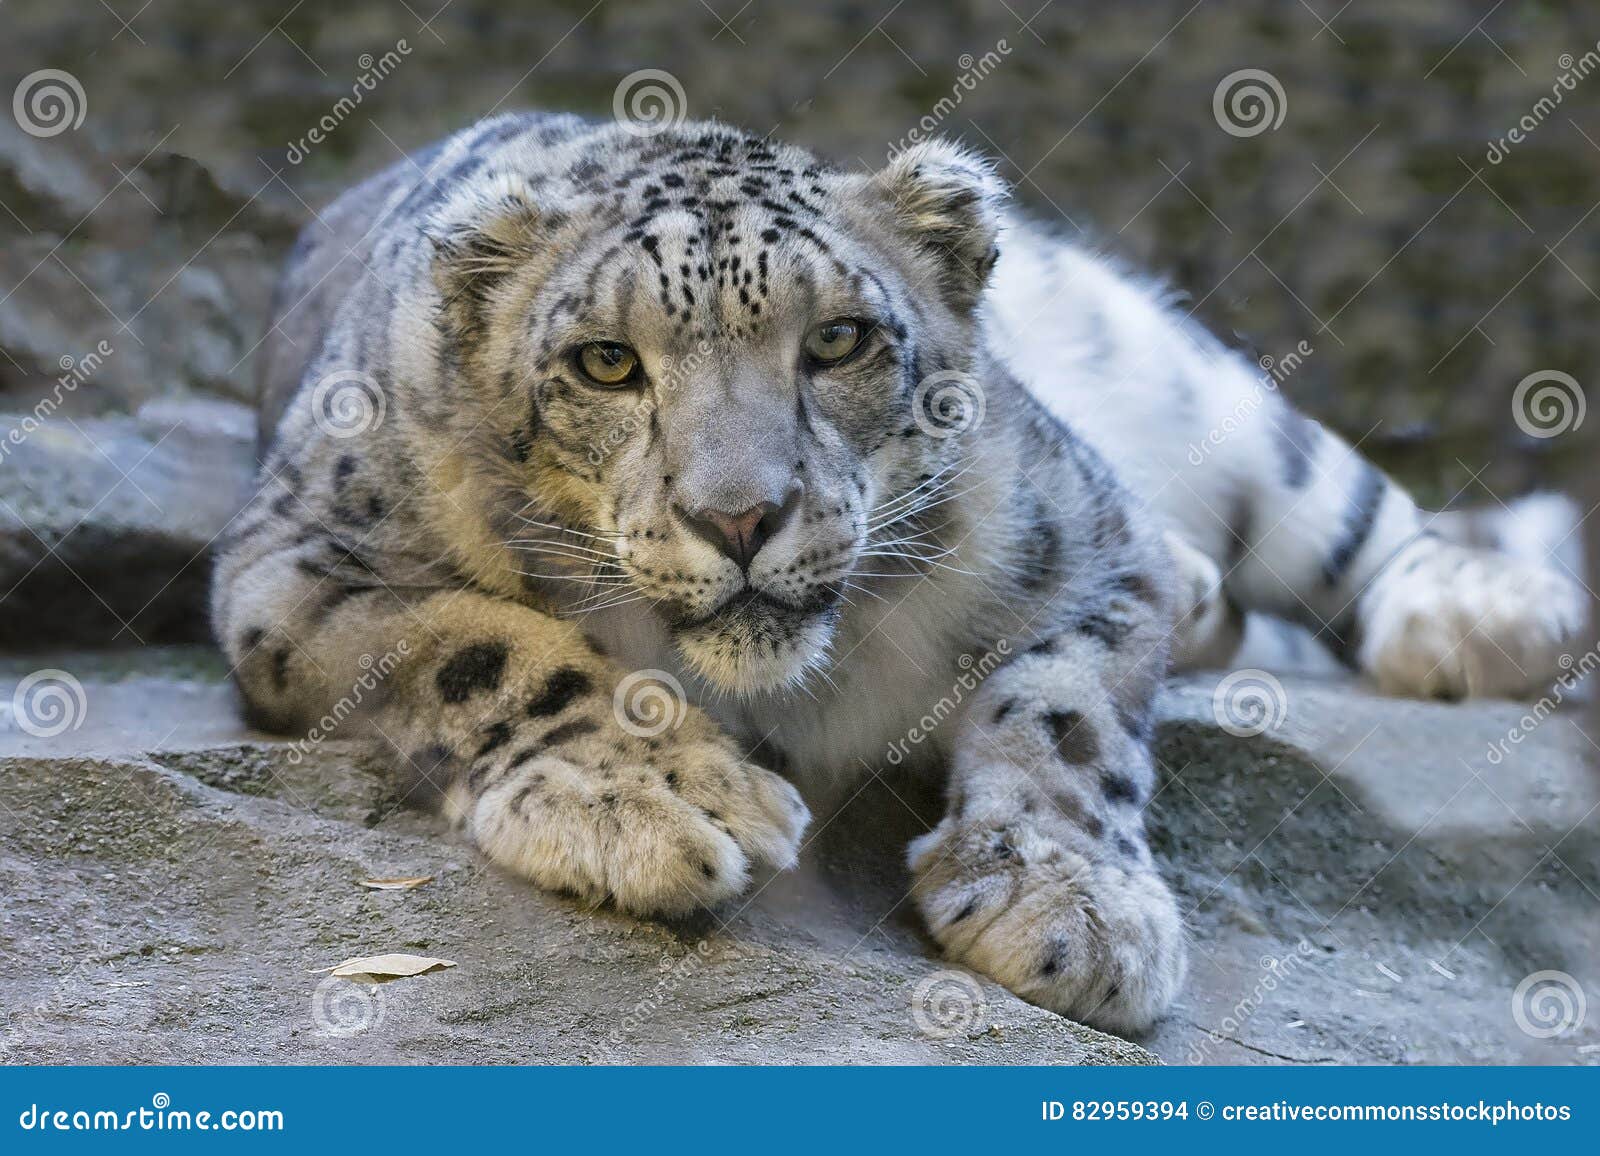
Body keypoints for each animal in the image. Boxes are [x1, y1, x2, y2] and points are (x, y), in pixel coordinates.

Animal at [212, 111, 1585, 1036]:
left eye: (837, 340)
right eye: (605, 361)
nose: (739, 514)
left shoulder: (1088, 533)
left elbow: (1066, 709)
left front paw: (1069, 906)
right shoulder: (299, 564)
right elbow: (480, 641)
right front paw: (660, 799)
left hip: (1186, 378)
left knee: (1348, 504)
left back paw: (1487, 613)